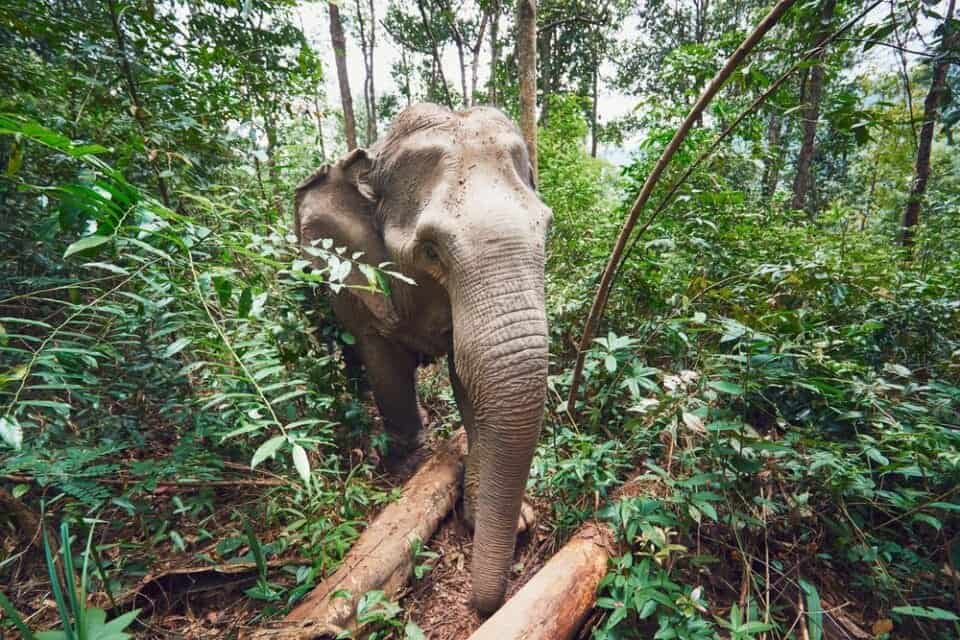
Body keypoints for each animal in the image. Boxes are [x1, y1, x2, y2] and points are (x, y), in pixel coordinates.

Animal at [293, 103, 551, 614]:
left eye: (546, 226)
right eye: (430, 250)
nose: (483, 606)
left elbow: (467, 378)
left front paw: (504, 518)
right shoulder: (358, 283)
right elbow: (383, 360)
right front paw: (409, 467)